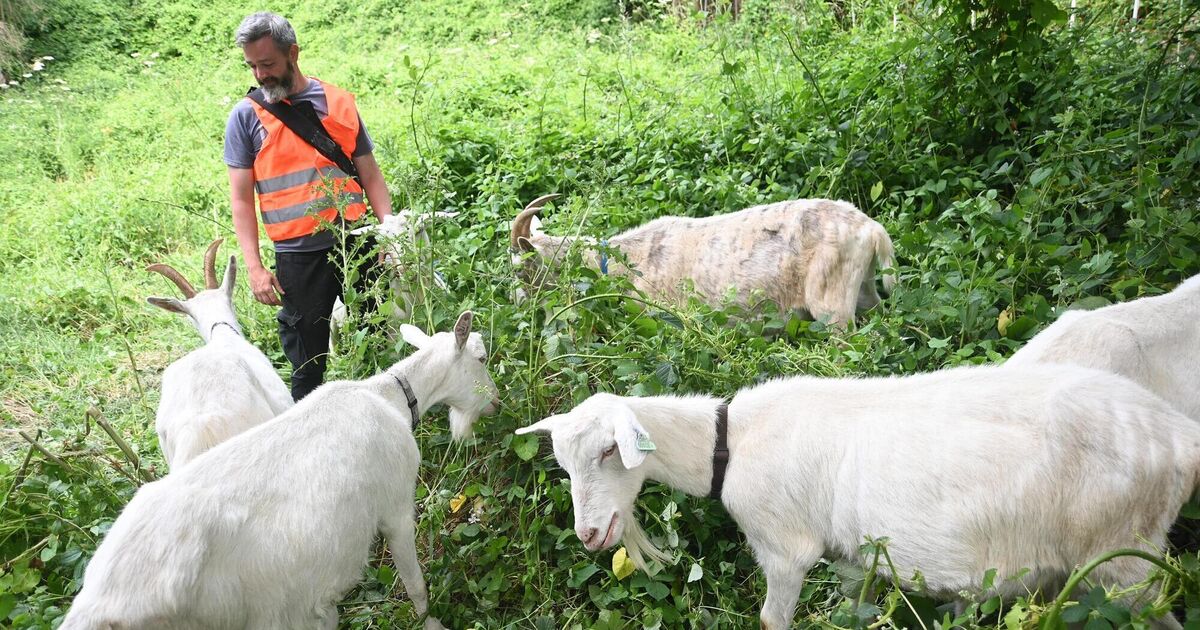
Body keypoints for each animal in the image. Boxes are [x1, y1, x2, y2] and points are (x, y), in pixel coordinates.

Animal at [60, 311, 500, 630]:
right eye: (480, 358)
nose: (496, 403)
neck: (388, 397)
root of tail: (97, 605)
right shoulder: (394, 507)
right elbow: (415, 585)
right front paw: (433, 624)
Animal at [517, 364, 1200, 629]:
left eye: (610, 452)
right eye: (562, 464)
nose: (590, 535)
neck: (729, 443)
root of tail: (1178, 434)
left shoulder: (785, 548)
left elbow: (772, 618)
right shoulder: (853, 561)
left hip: (1124, 560)